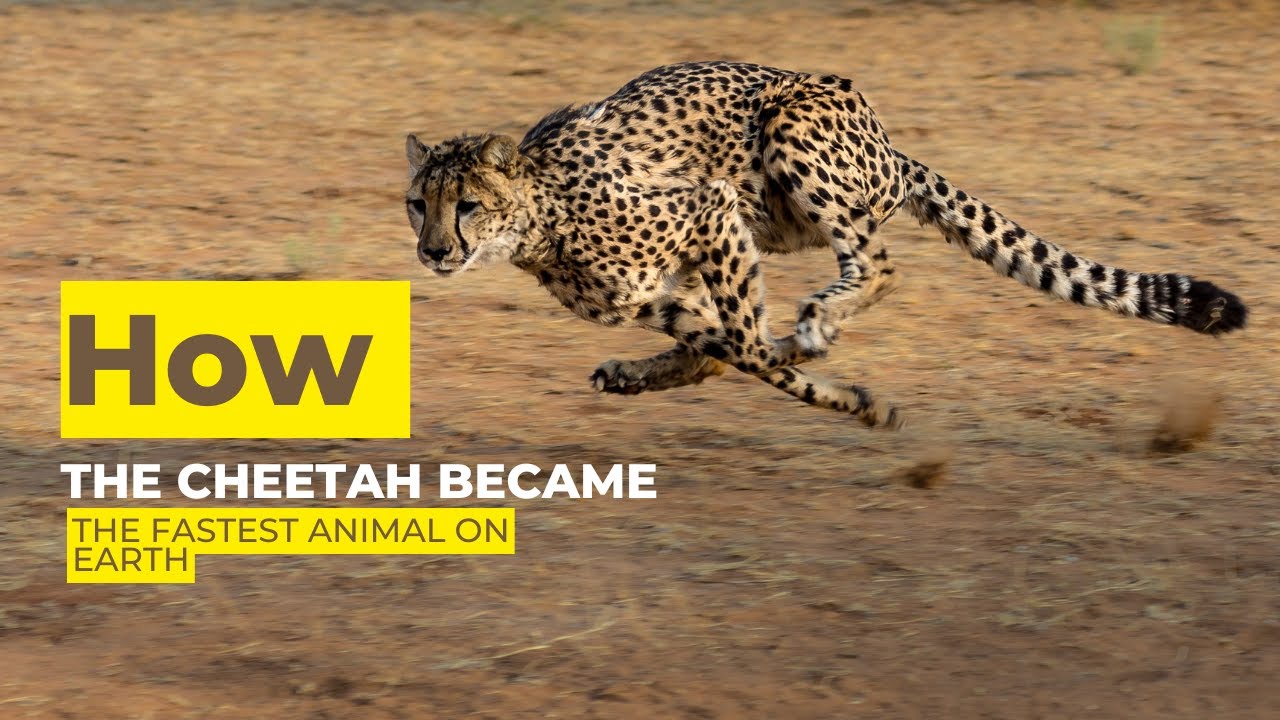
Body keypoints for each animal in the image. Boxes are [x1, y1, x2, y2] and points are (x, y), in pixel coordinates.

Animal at [403, 61, 1247, 429]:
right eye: (418, 205)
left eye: (467, 205)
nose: (433, 252)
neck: (539, 218)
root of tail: (888, 142)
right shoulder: (659, 292)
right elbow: (726, 349)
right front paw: (846, 394)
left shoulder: (708, 209)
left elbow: (748, 347)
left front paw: (846, 391)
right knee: (727, 343)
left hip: (790, 135)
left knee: (877, 263)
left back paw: (816, 322)